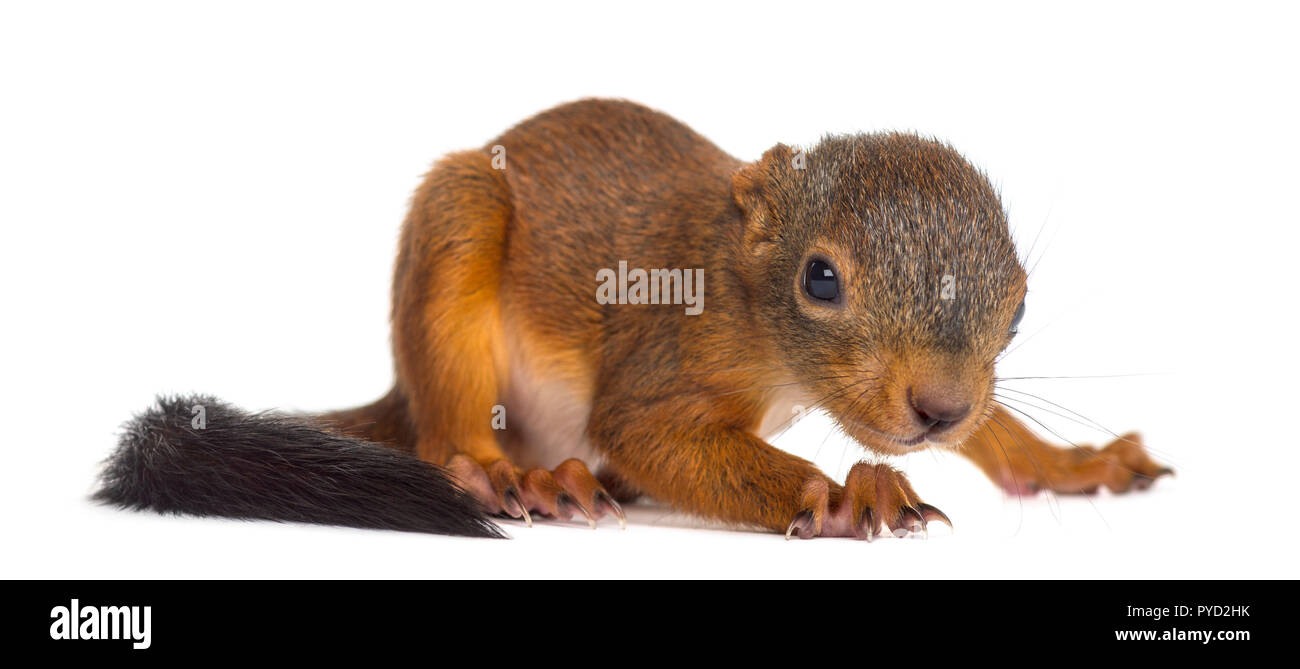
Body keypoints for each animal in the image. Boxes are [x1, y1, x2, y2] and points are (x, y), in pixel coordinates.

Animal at [97, 99, 1172, 539]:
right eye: (820, 280)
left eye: (1019, 309)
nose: (939, 406)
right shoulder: (671, 350)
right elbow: (647, 431)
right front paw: (838, 495)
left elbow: (1002, 434)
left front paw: (1073, 465)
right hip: (458, 230)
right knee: (449, 436)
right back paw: (510, 475)